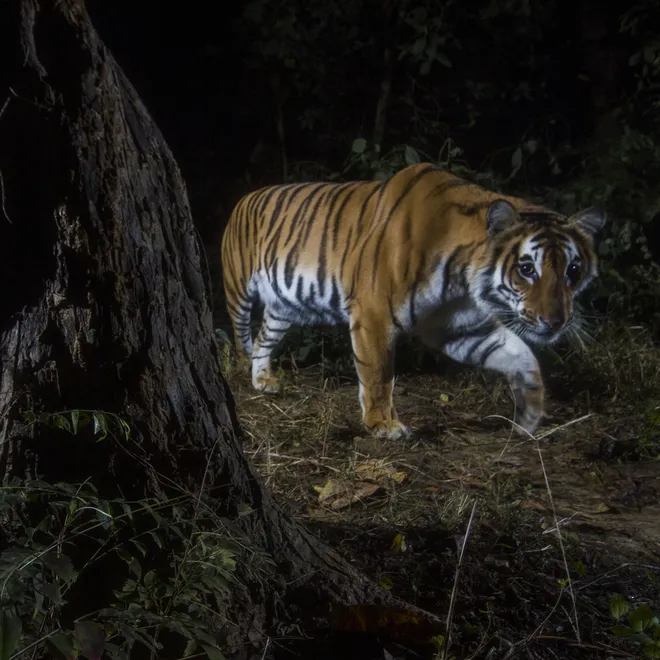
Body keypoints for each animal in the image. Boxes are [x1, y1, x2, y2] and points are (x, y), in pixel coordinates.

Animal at [221, 163, 605, 440]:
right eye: (527, 269)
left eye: (573, 270)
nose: (556, 322)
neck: (463, 278)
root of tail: (243, 198)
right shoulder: (373, 315)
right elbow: (378, 374)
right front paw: (383, 425)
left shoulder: (458, 326)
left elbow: (520, 355)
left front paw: (530, 414)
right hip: (238, 289)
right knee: (241, 335)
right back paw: (239, 373)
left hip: (283, 307)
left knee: (263, 338)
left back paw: (262, 380)